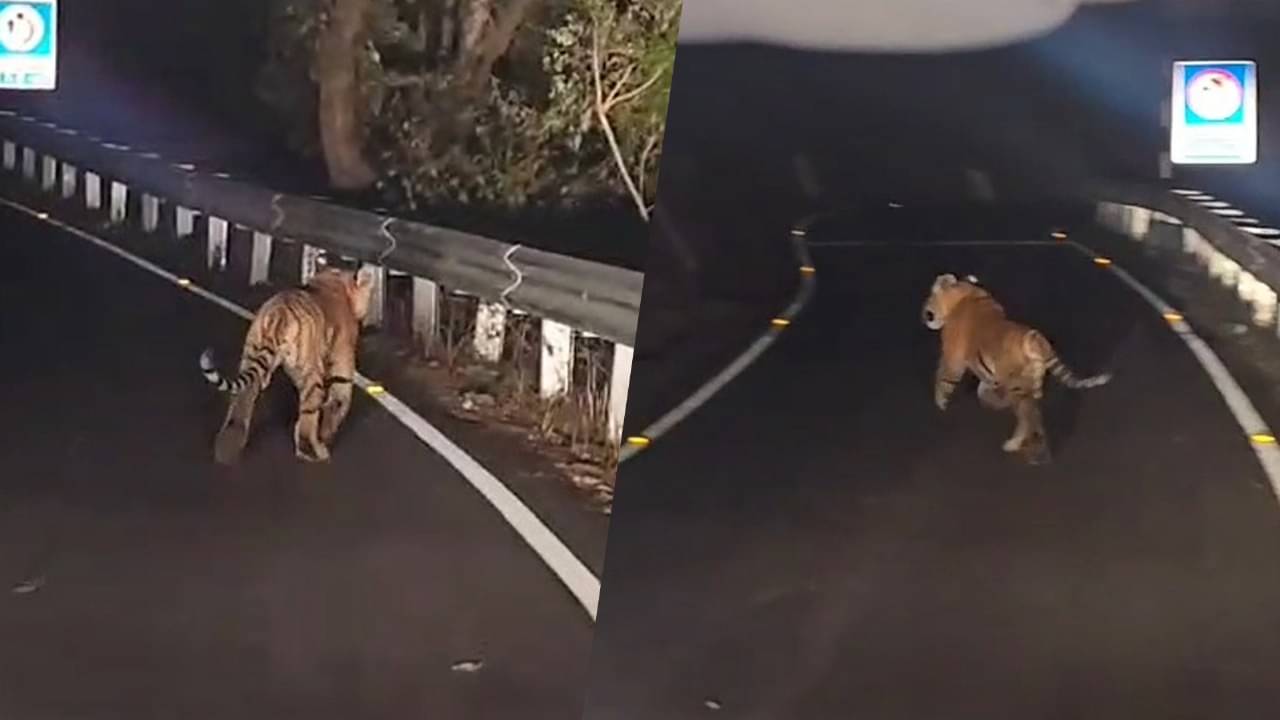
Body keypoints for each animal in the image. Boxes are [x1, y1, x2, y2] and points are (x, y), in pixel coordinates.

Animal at [198, 264, 375, 465]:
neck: (336, 281)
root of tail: (278, 315)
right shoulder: (342, 361)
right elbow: (339, 399)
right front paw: (327, 433)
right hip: (310, 374)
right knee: (309, 413)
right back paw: (312, 452)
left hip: (251, 356)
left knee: (242, 399)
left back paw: (227, 447)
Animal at [921, 273, 1111, 464]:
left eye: (929, 297)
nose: (924, 314)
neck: (964, 293)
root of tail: (1037, 340)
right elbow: (983, 387)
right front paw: (991, 399)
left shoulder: (953, 359)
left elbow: (942, 379)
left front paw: (940, 404)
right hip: (1032, 383)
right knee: (1034, 408)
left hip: (1018, 389)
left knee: (1028, 418)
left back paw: (1017, 445)